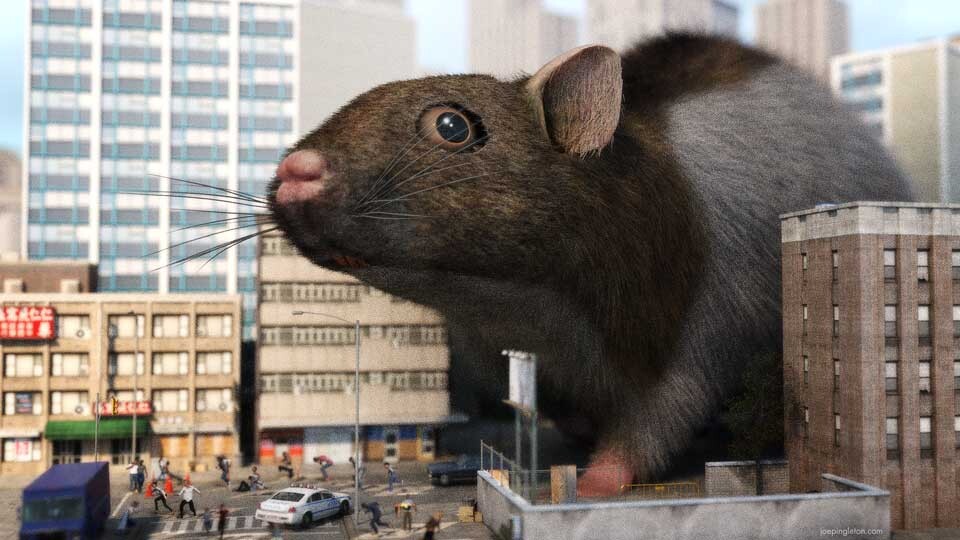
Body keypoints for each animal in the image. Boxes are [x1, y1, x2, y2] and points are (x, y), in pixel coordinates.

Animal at [268, 33, 912, 495]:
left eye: (452, 126)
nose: (296, 173)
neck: (526, 309)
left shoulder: (692, 323)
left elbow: (665, 410)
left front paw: (601, 478)